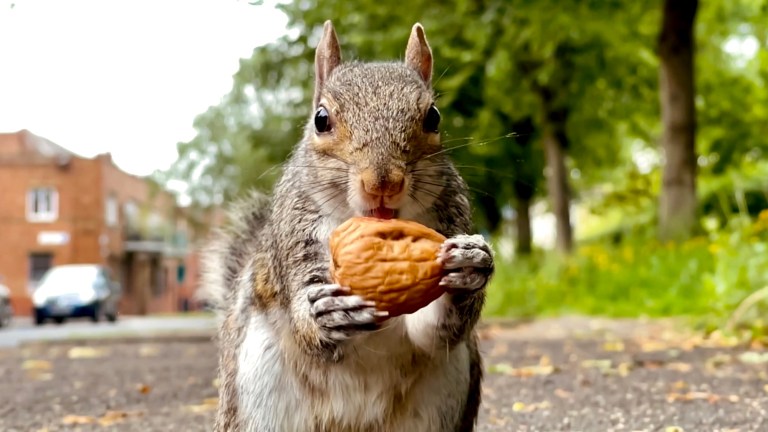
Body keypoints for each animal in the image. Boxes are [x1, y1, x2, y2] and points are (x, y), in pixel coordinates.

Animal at [201, 20, 494, 432]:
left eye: (433, 117)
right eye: (321, 120)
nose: (382, 183)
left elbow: (434, 332)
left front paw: (468, 265)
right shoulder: (294, 239)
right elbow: (308, 328)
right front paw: (324, 314)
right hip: (258, 397)